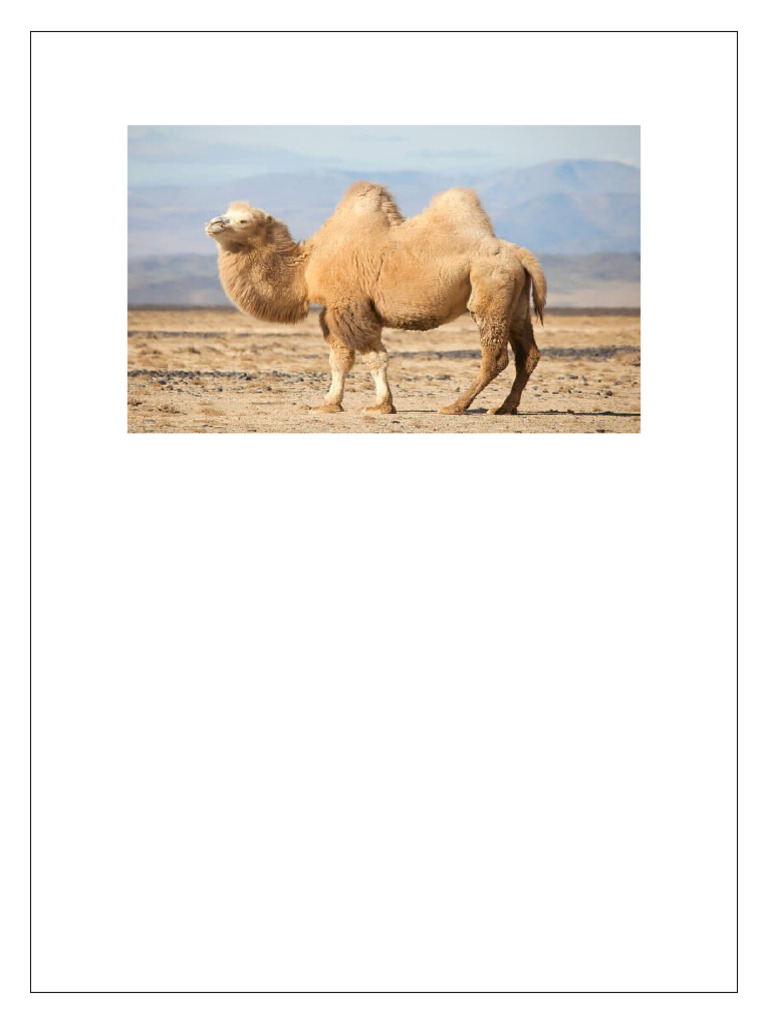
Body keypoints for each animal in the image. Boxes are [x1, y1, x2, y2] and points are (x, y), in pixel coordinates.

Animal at [204, 182, 546, 415]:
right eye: (227, 214)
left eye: (244, 220)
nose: (213, 223)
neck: (306, 265)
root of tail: (519, 252)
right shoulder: (334, 310)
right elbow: (340, 360)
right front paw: (329, 403)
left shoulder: (351, 306)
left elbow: (373, 358)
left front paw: (381, 405)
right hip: (516, 304)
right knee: (528, 354)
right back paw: (504, 407)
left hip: (490, 292)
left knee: (495, 356)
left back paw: (456, 406)